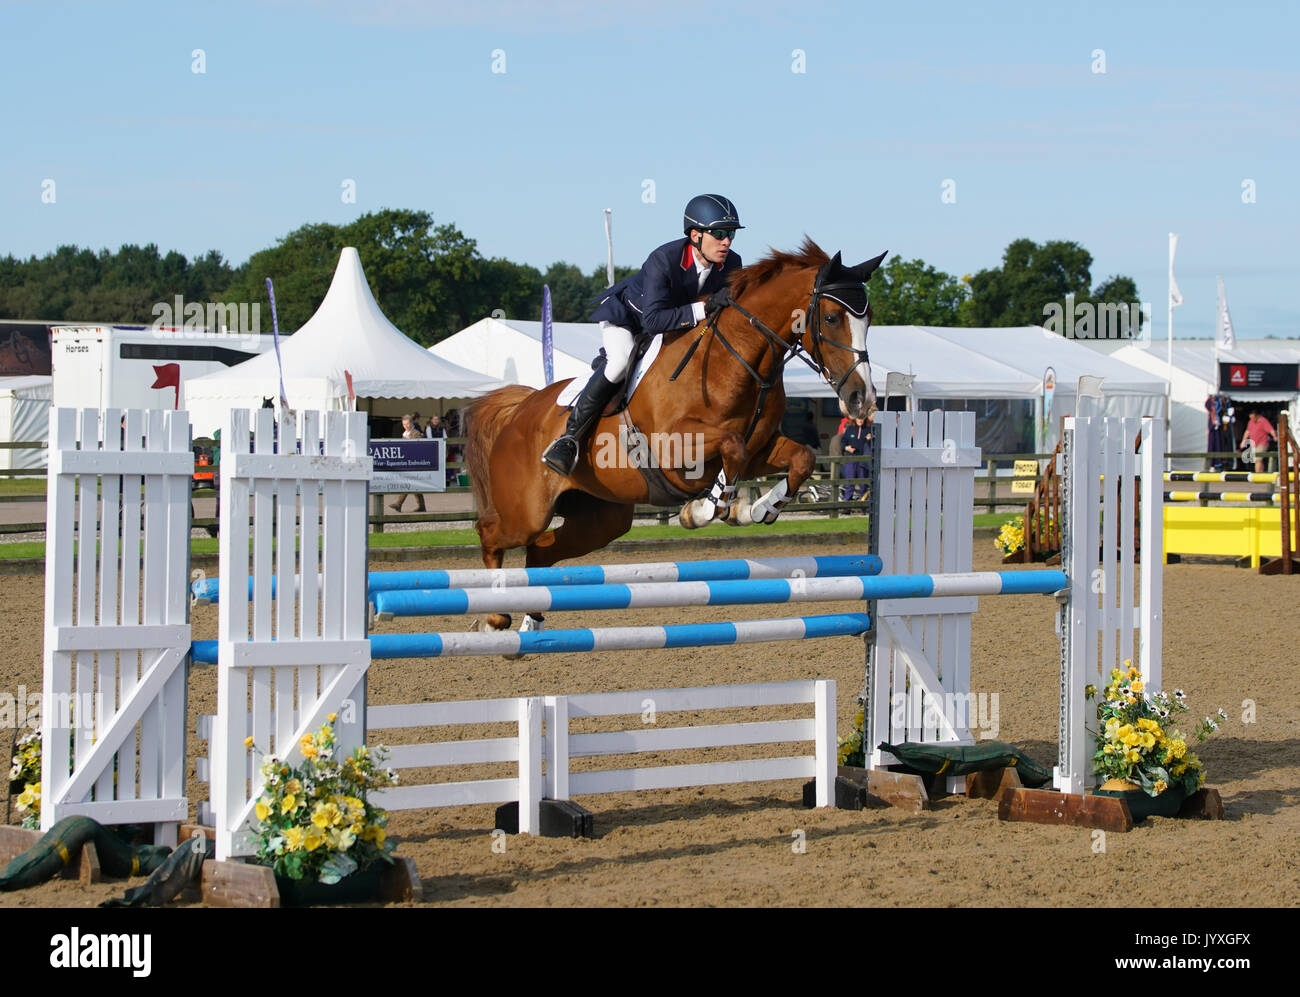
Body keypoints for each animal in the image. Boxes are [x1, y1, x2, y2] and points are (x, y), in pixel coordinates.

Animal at [464, 239, 886, 631]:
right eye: (831, 317)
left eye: (869, 320)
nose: (862, 399)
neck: (736, 358)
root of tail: (521, 408)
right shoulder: (676, 447)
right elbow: (730, 449)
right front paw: (701, 510)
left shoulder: (760, 449)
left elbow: (801, 458)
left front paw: (756, 509)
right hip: (527, 511)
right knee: (492, 533)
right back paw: (495, 617)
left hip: (600, 519)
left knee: (540, 553)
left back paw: (531, 623)